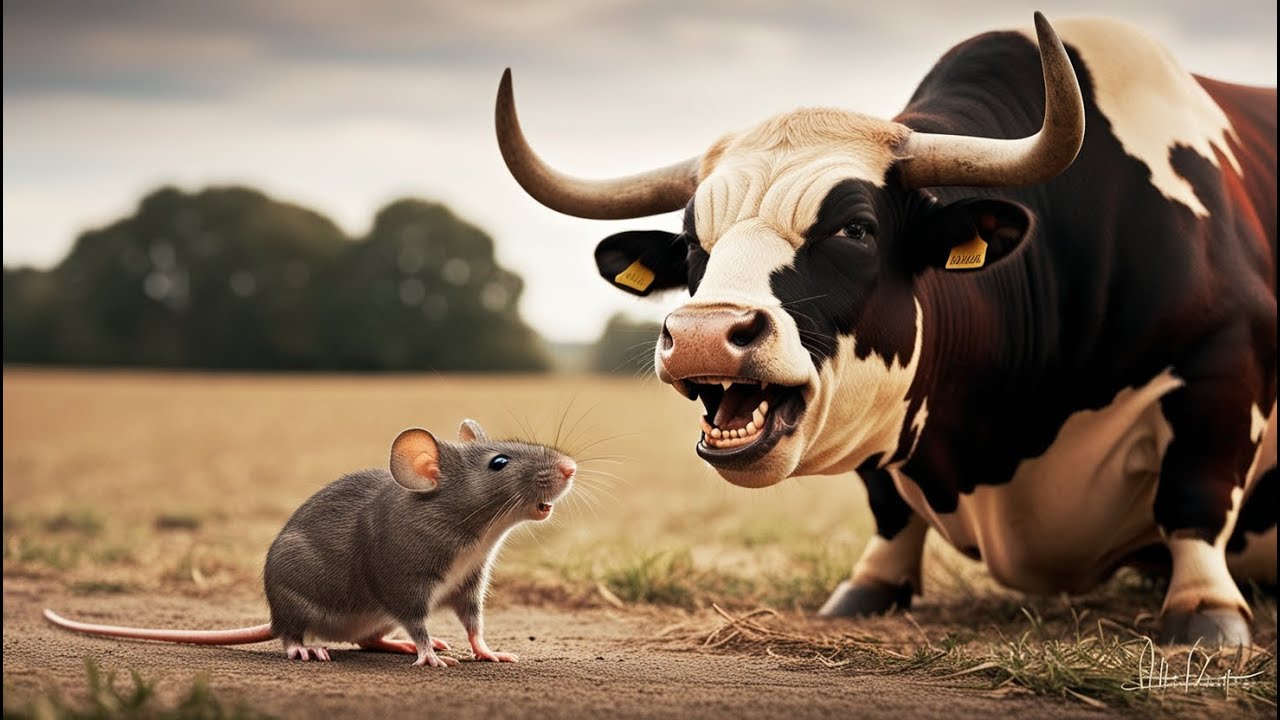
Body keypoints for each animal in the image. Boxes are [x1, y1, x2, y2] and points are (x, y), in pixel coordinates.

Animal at [494, 13, 1277, 646]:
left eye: (856, 229)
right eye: (691, 244)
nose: (701, 335)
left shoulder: (1224, 364)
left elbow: (1195, 493)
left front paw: (1206, 612)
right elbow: (887, 506)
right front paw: (869, 588)